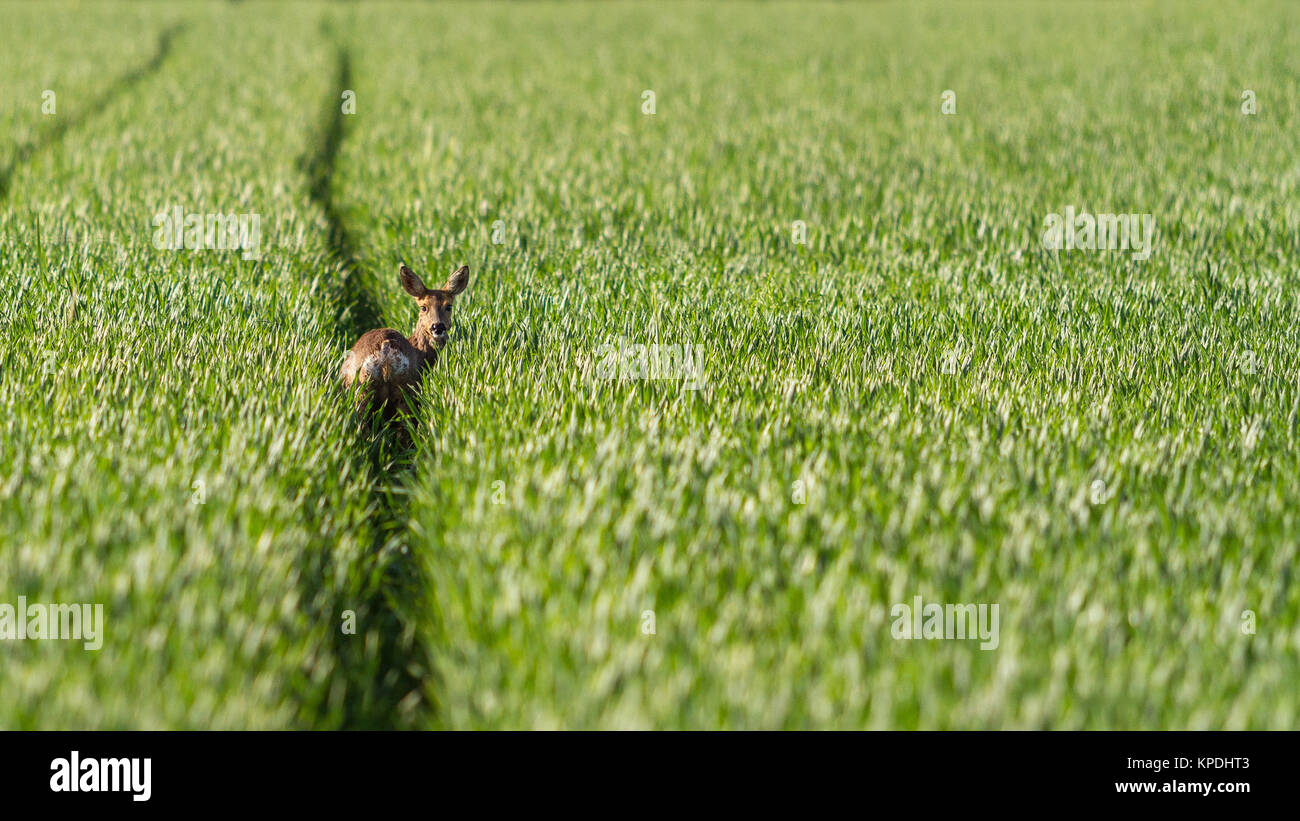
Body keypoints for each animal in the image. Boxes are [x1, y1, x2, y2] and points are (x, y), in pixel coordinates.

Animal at [340, 263, 469, 420]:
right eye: (423, 307)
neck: (419, 352)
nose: (437, 327)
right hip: (404, 388)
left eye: (449, 306)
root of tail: (385, 348)